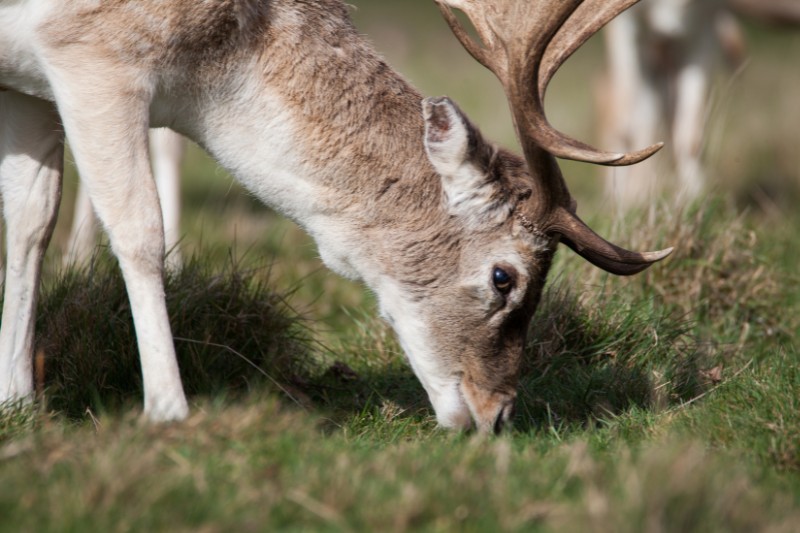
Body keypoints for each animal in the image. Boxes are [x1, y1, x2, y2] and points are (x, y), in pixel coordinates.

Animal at [0, 0, 671, 433]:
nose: (497, 414)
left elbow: (31, 220)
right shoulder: (91, 49)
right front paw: (168, 411)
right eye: (505, 277)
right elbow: (140, 230)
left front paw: (20, 406)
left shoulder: (28, 86)